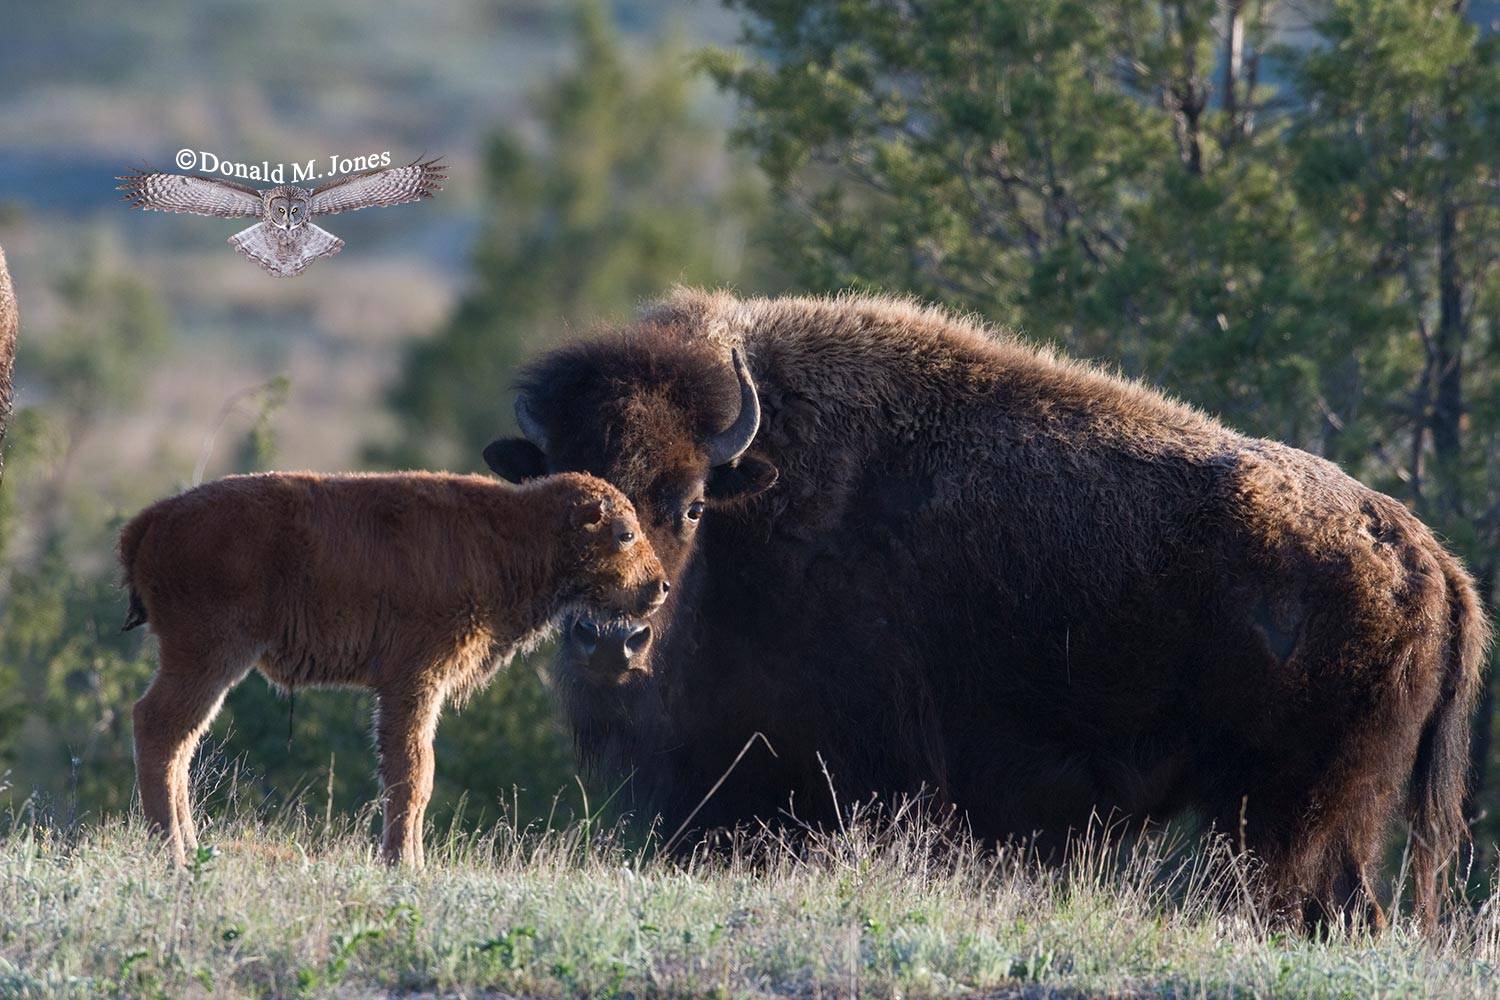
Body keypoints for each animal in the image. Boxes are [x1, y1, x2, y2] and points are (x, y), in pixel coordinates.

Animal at [483, 289, 1490, 930]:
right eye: (562, 498)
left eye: (690, 505)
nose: (612, 639)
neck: (755, 516)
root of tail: (1426, 556)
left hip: (1286, 815)